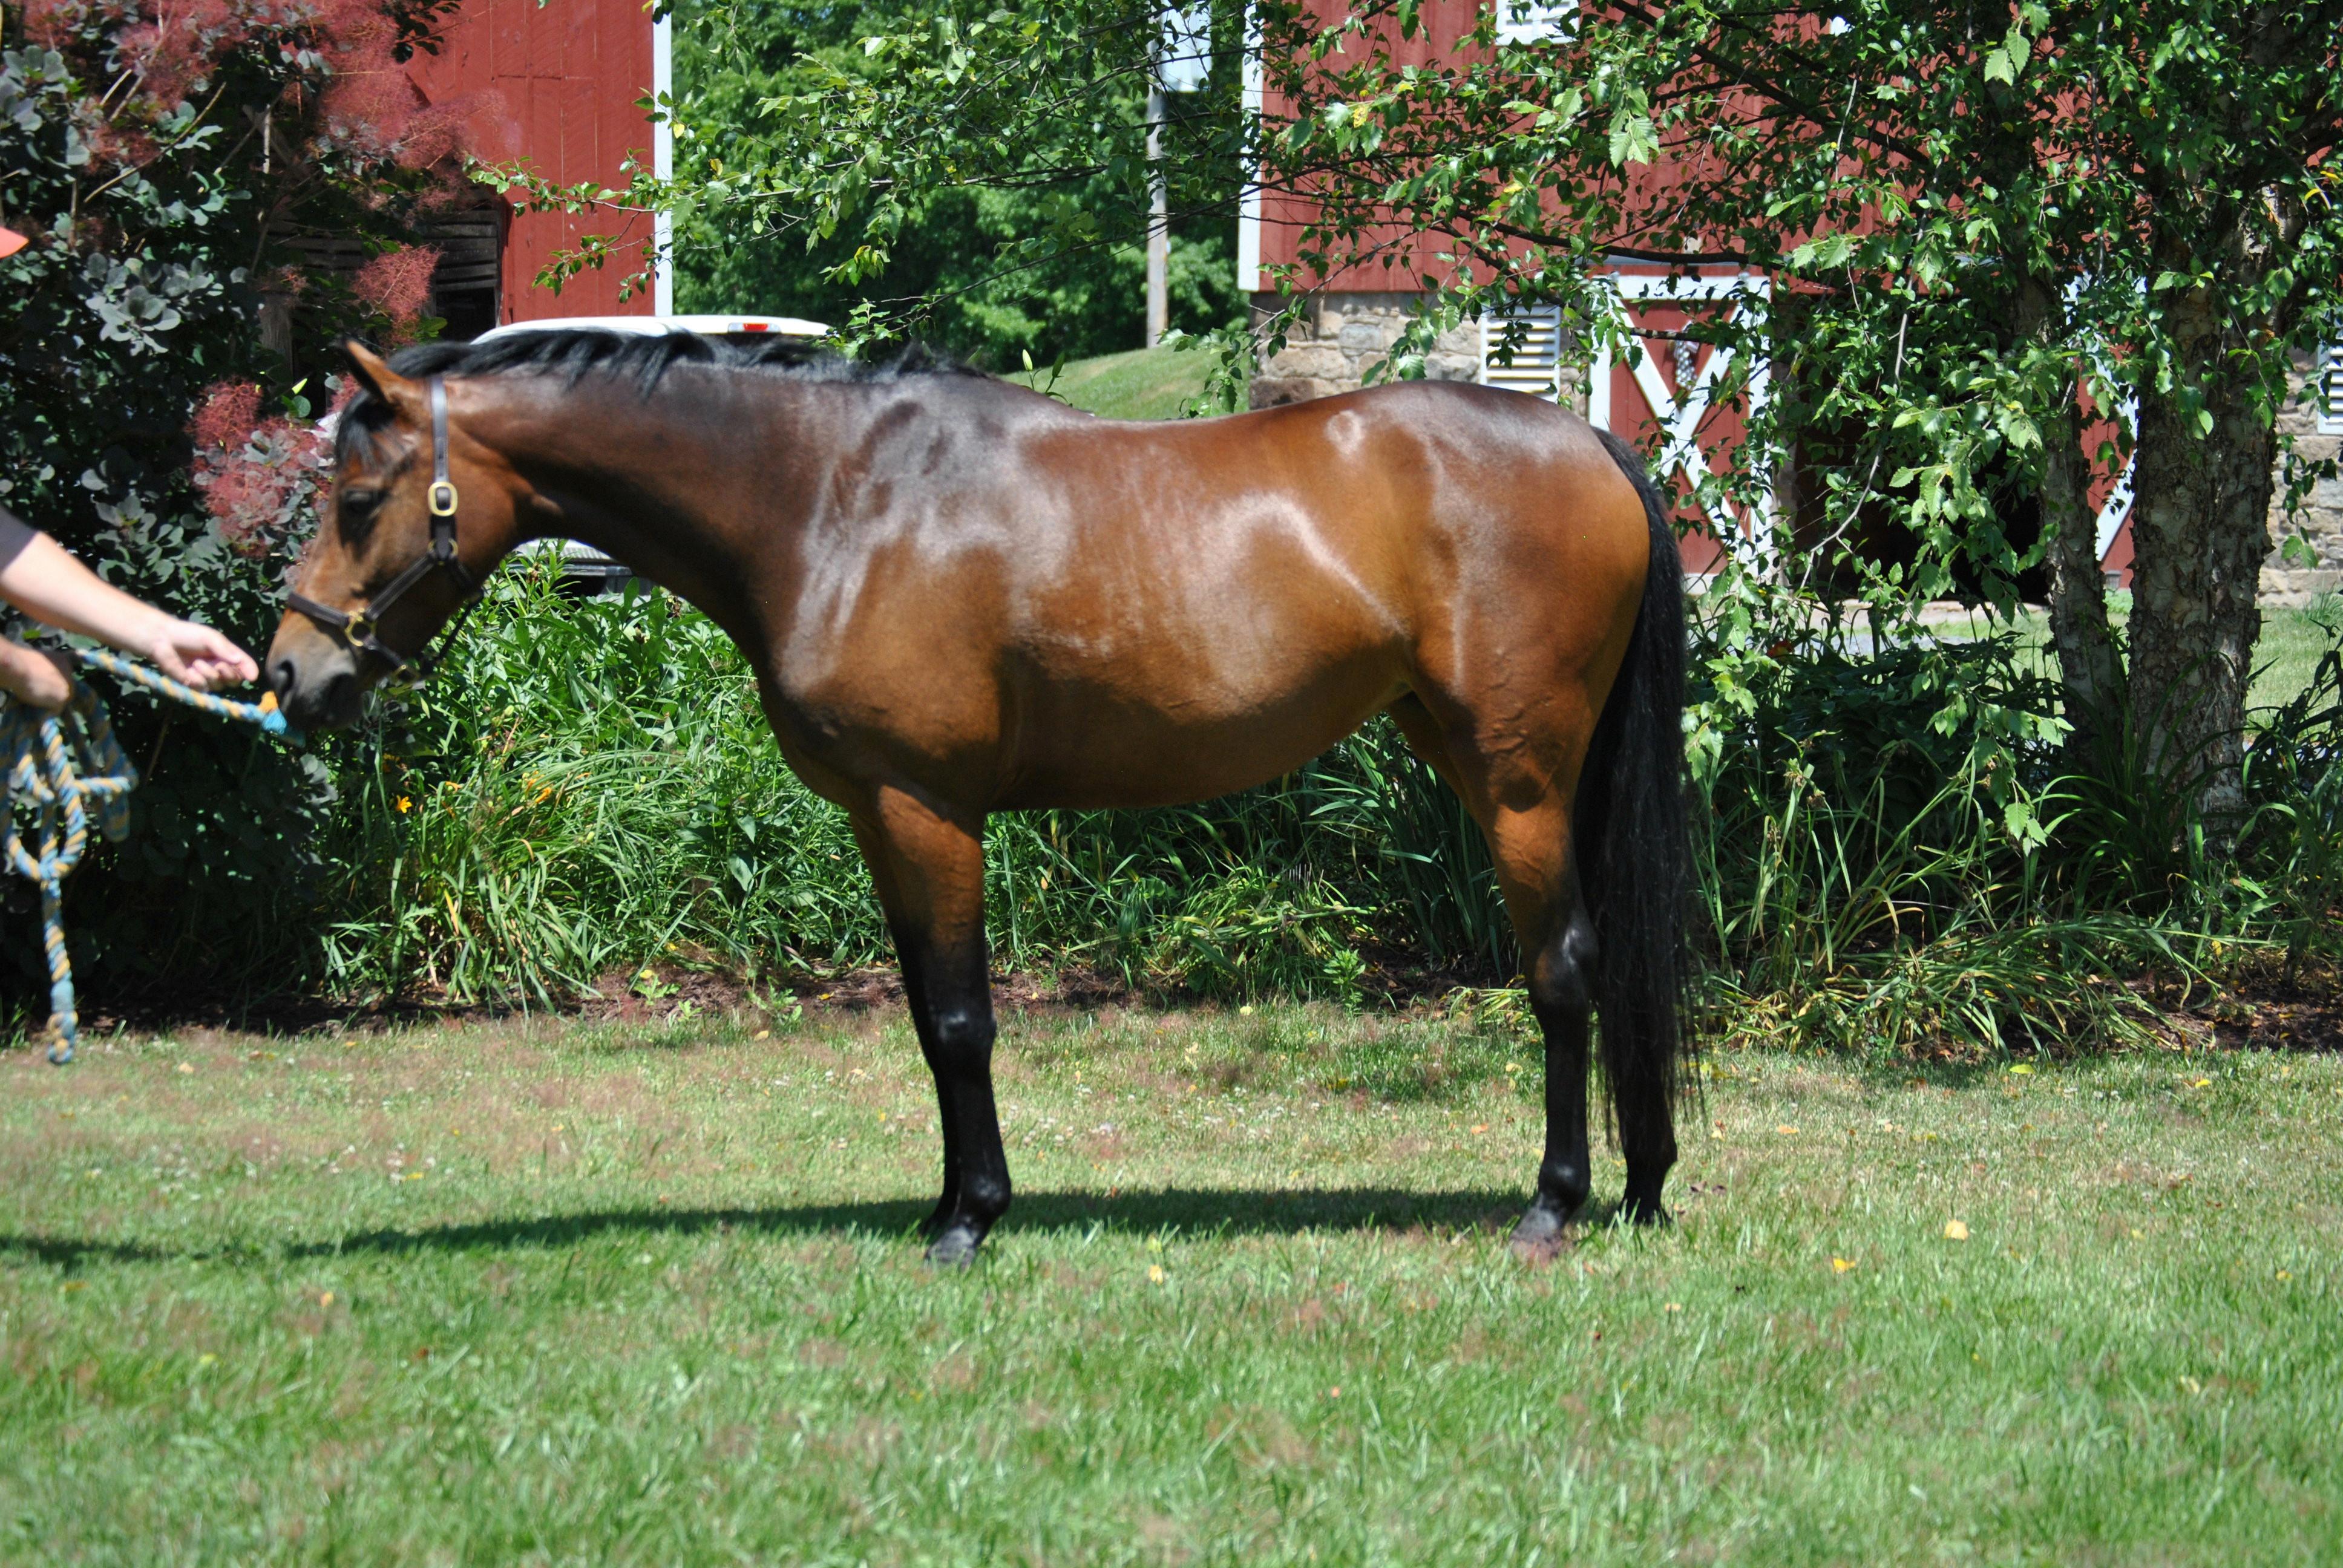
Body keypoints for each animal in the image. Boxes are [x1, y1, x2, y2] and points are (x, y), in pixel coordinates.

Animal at [265, 331, 1691, 1265]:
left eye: (357, 498)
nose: (289, 673)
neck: (834, 500)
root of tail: (1591, 441)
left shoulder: (927, 806)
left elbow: (959, 1021)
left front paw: (972, 1225)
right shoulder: (877, 817)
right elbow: (925, 1017)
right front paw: (953, 1204)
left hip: (1516, 782)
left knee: (1563, 971)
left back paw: (1556, 1205)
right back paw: (1638, 1185)